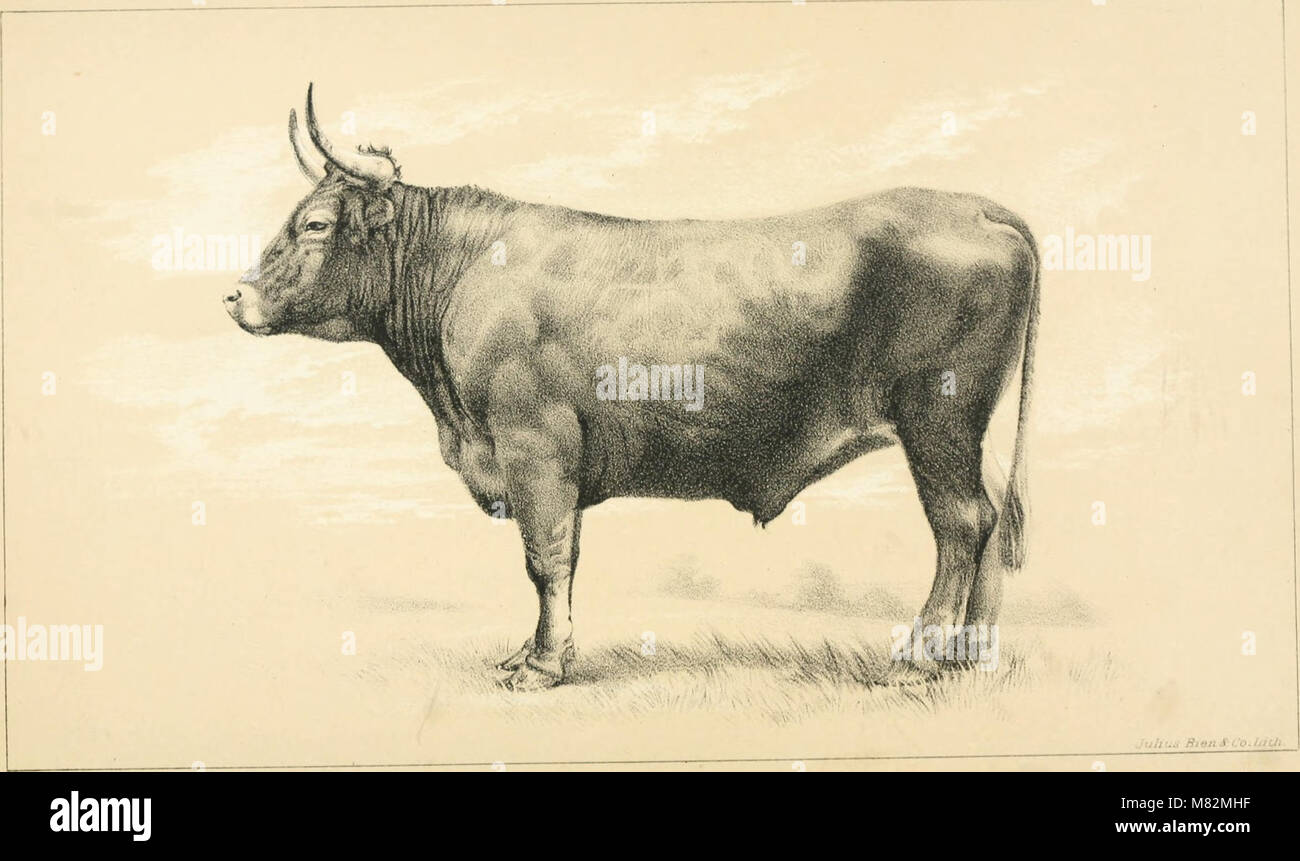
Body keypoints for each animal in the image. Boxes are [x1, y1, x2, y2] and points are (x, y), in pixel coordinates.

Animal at [225, 86, 1040, 690]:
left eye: (316, 224)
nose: (236, 297)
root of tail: (978, 207)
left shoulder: (534, 443)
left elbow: (545, 556)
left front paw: (541, 667)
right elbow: (560, 556)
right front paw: (531, 653)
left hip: (937, 416)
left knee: (960, 524)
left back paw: (919, 658)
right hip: (973, 428)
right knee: (991, 520)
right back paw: (970, 658)